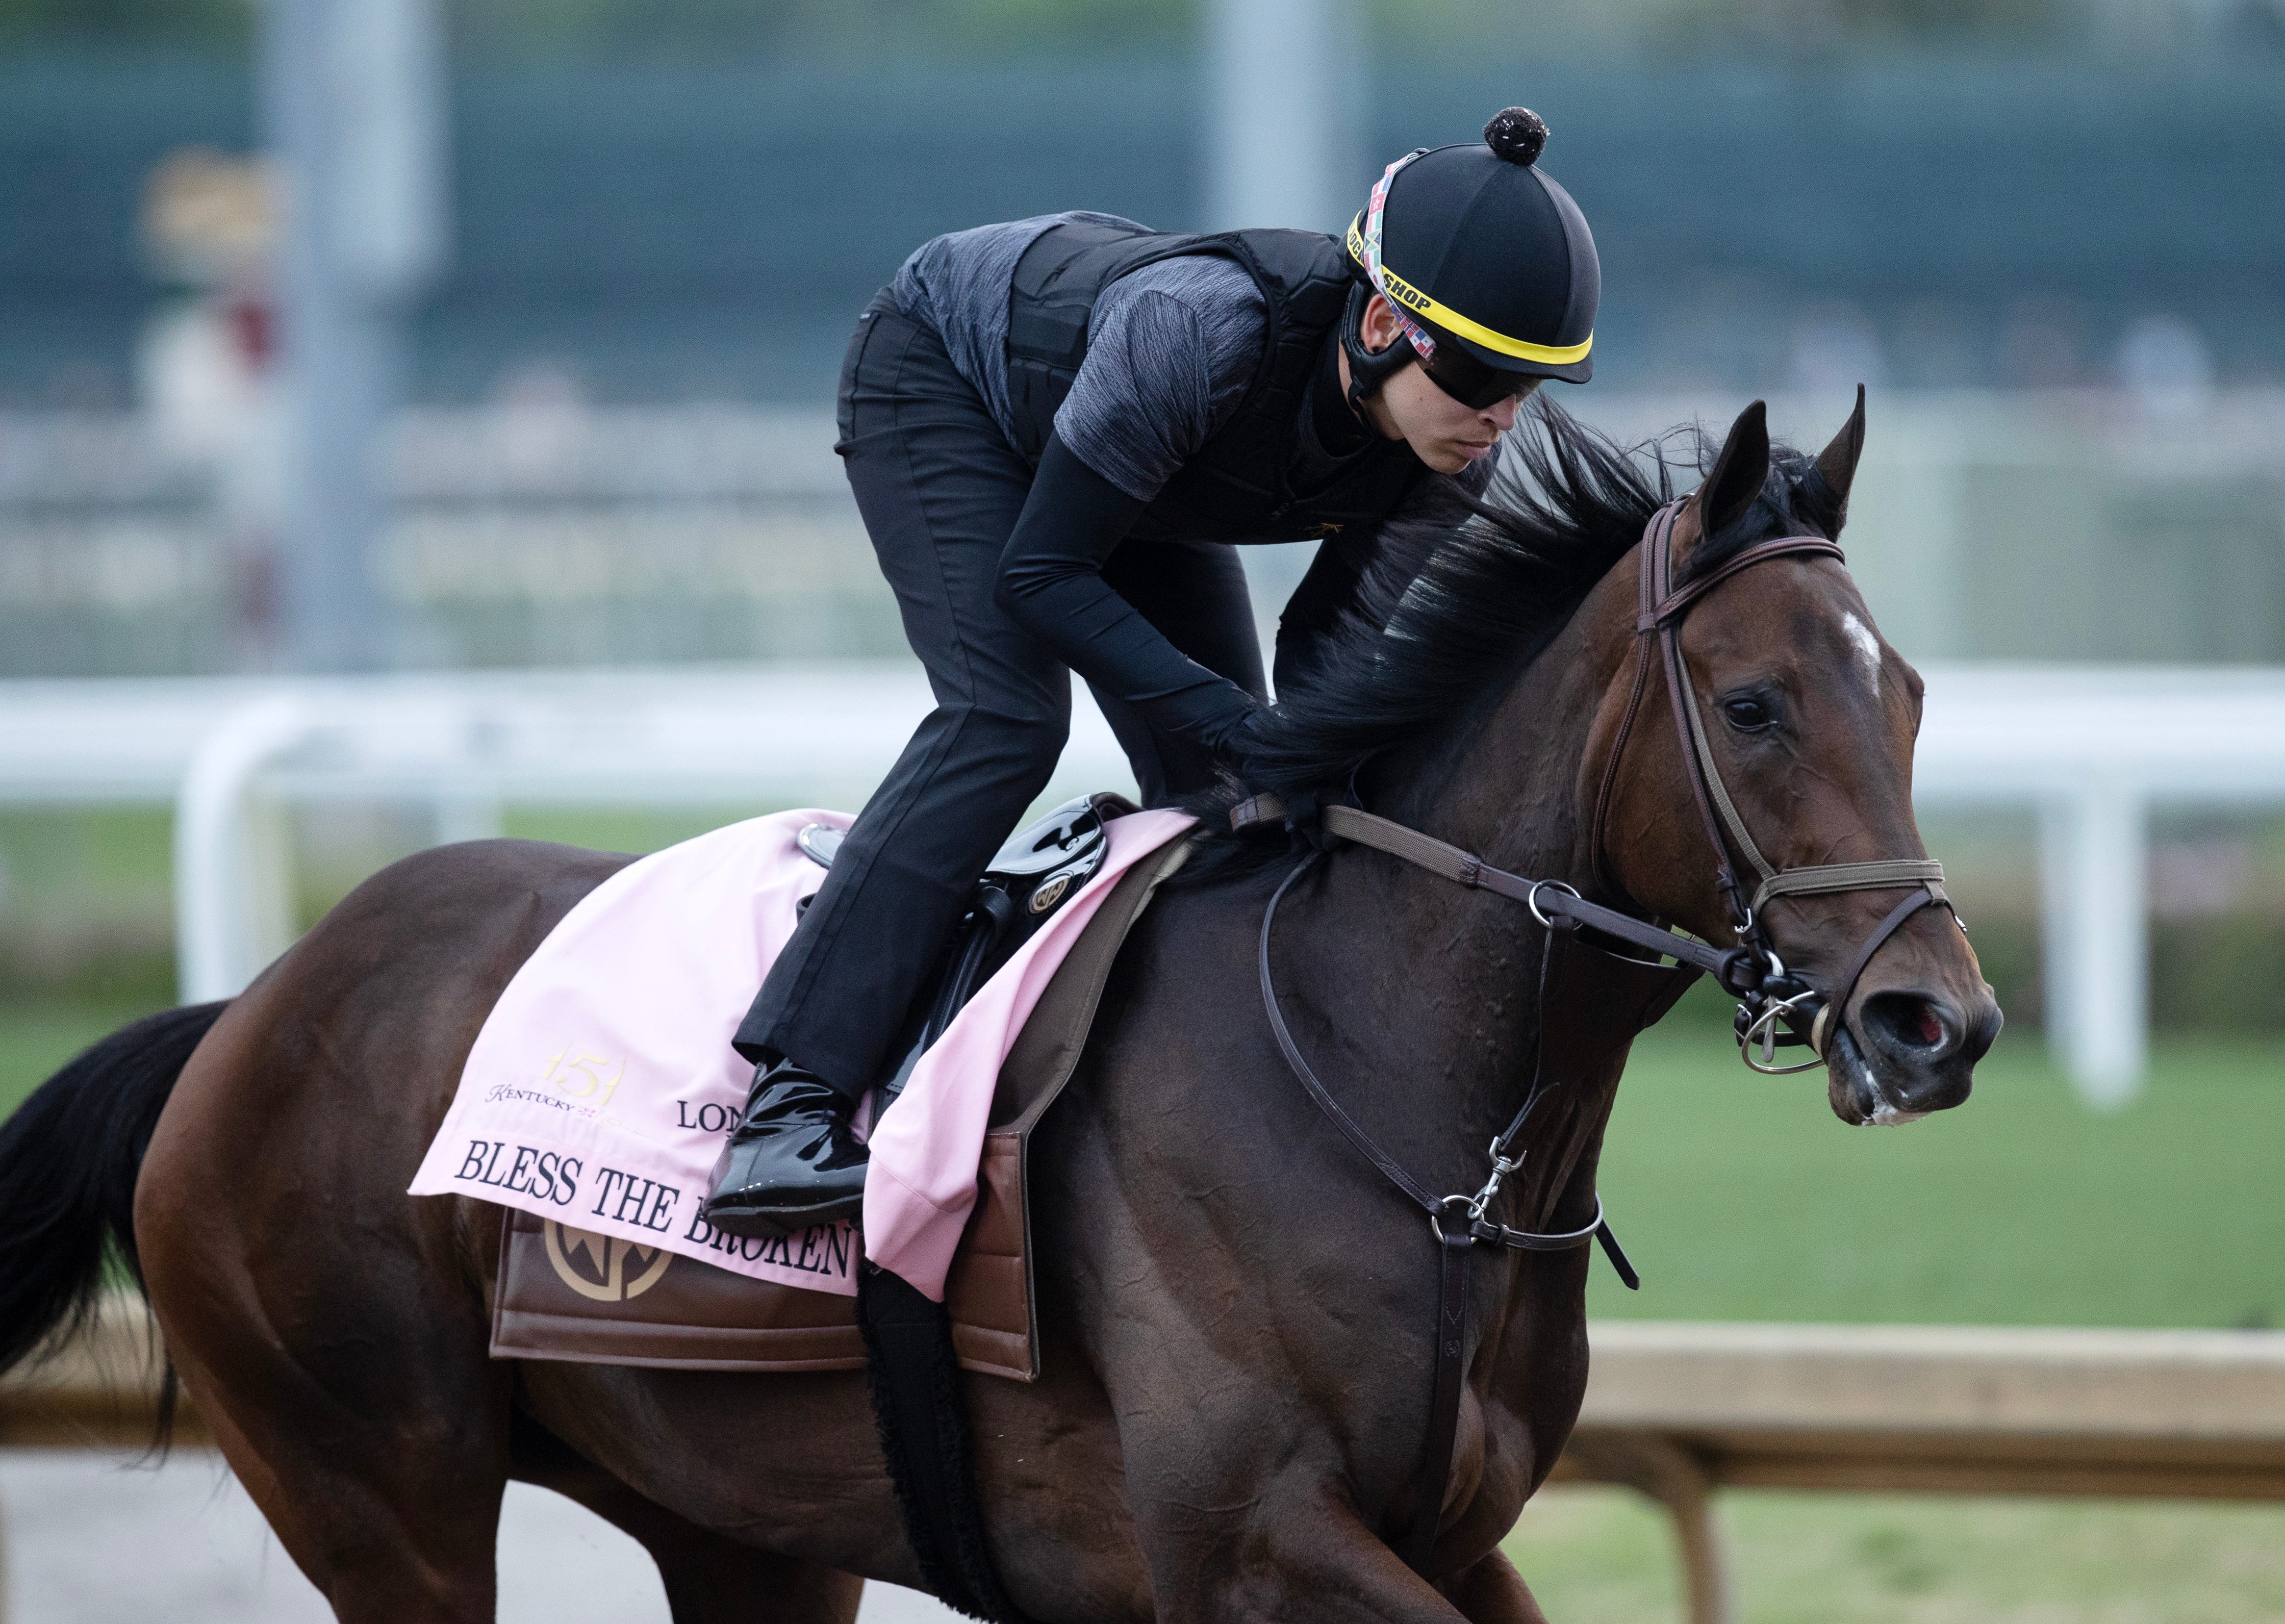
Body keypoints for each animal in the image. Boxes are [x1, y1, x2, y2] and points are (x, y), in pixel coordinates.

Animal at [0, 395, 1997, 1623]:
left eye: (1906, 694)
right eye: (1751, 702)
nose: (1939, 1024)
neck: (1390, 1096)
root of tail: (245, 1009)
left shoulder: (1448, 1532)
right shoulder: (1247, 1545)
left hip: (740, 1526)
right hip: (384, 1496)